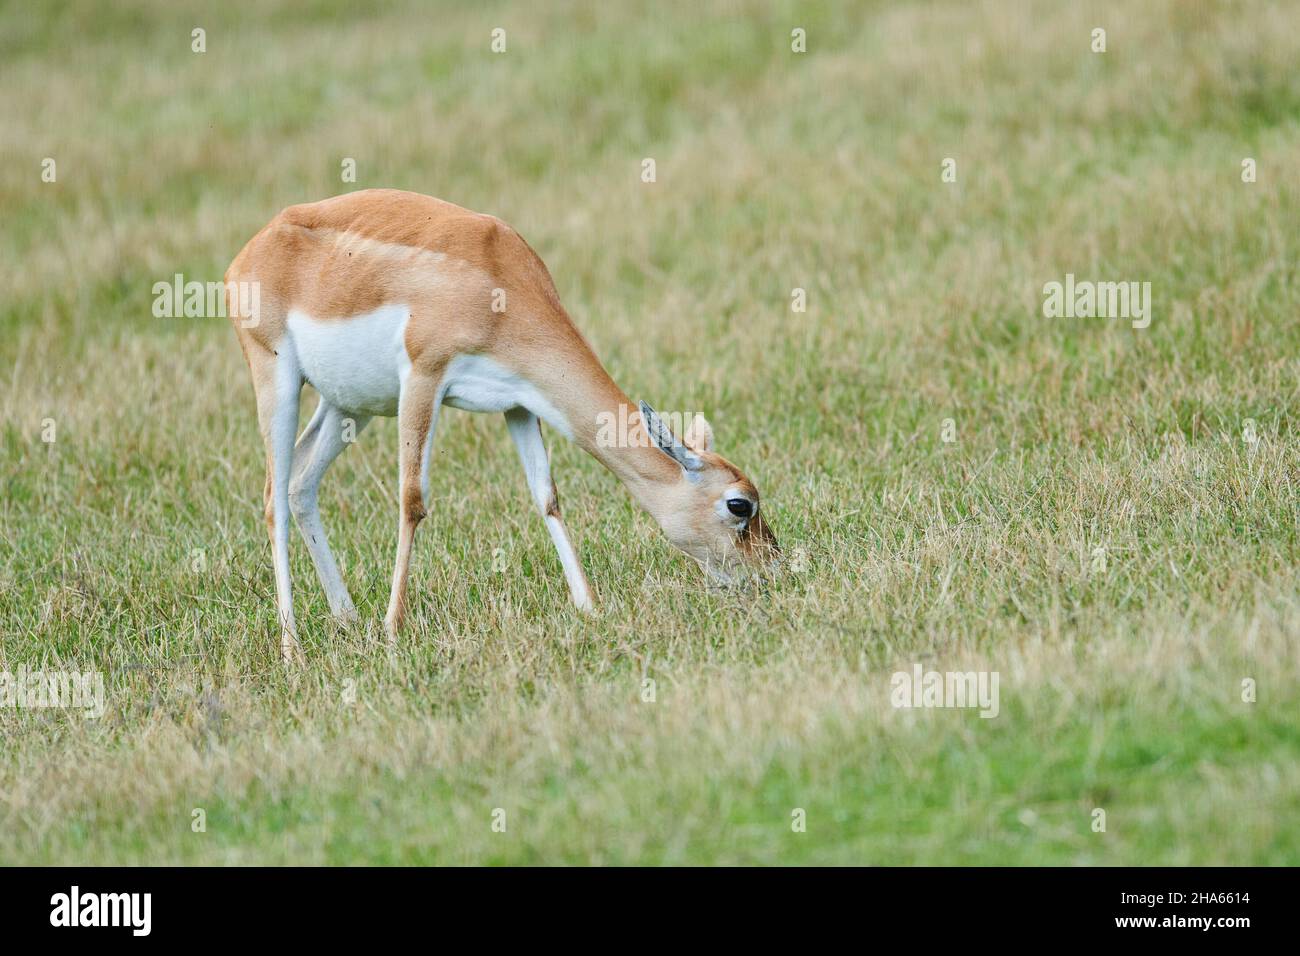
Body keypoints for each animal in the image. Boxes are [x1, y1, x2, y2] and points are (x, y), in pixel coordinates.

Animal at [226, 189, 778, 663]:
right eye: (739, 505)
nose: (771, 572)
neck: (499, 281)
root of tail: (249, 252)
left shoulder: (520, 403)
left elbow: (547, 496)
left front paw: (590, 608)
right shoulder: (424, 375)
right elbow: (412, 499)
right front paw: (393, 630)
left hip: (348, 406)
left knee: (300, 482)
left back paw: (346, 619)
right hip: (277, 377)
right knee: (273, 497)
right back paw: (293, 648)